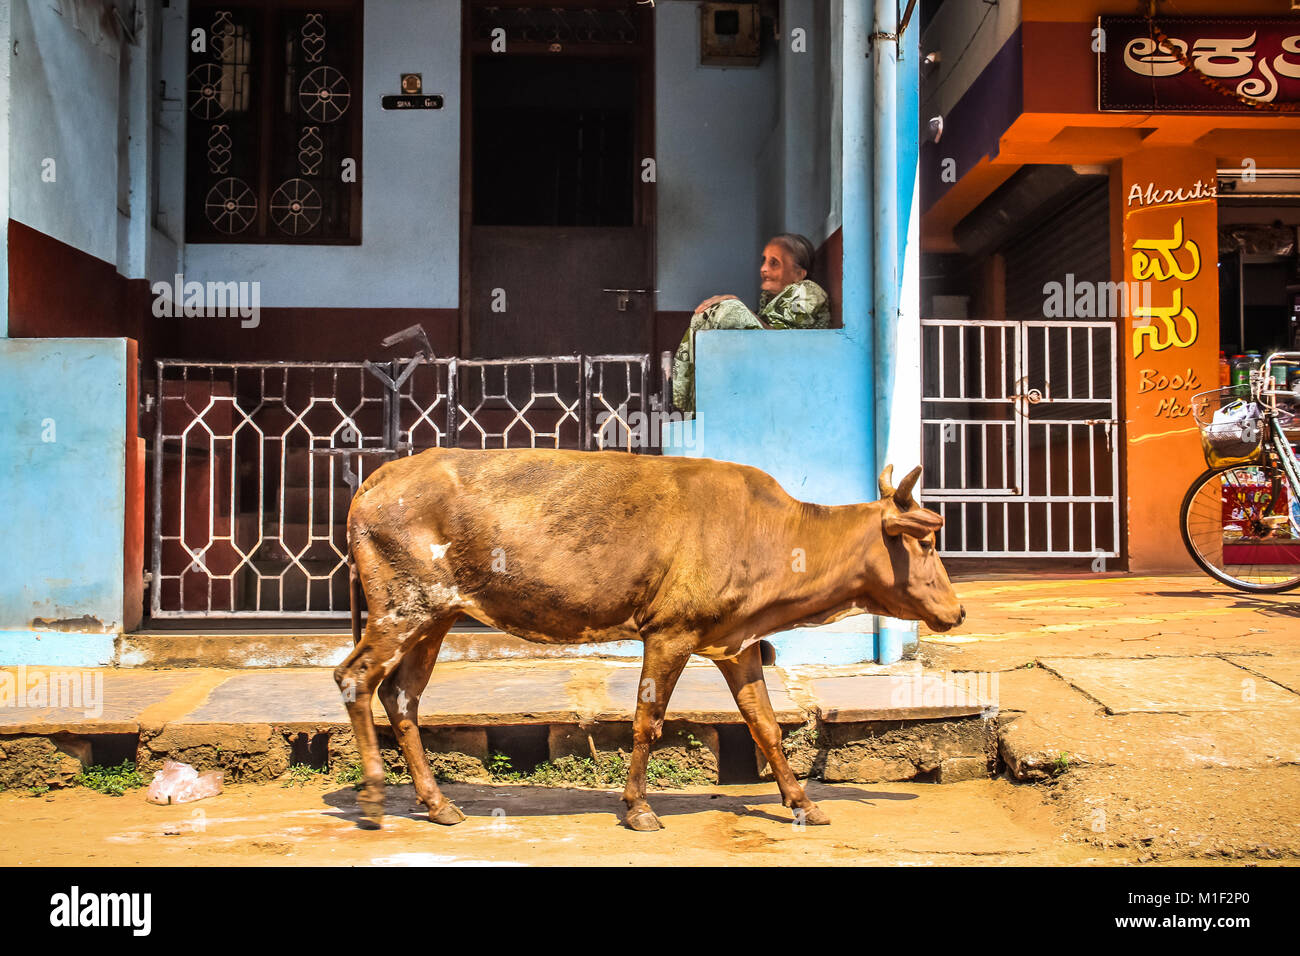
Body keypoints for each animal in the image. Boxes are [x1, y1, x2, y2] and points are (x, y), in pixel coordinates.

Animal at [334, 447, 964, 831]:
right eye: (928, 544)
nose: (957, 611)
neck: (777, 537)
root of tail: (376, 479)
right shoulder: (670, 632)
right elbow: (647, 721)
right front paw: (637, 808)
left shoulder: (735, 644)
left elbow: (764, 725)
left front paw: (803, 802)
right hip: (402, 606)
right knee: (355, 677)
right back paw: (374, 796)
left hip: (435, 616)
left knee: (402, 697)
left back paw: (438, 803)